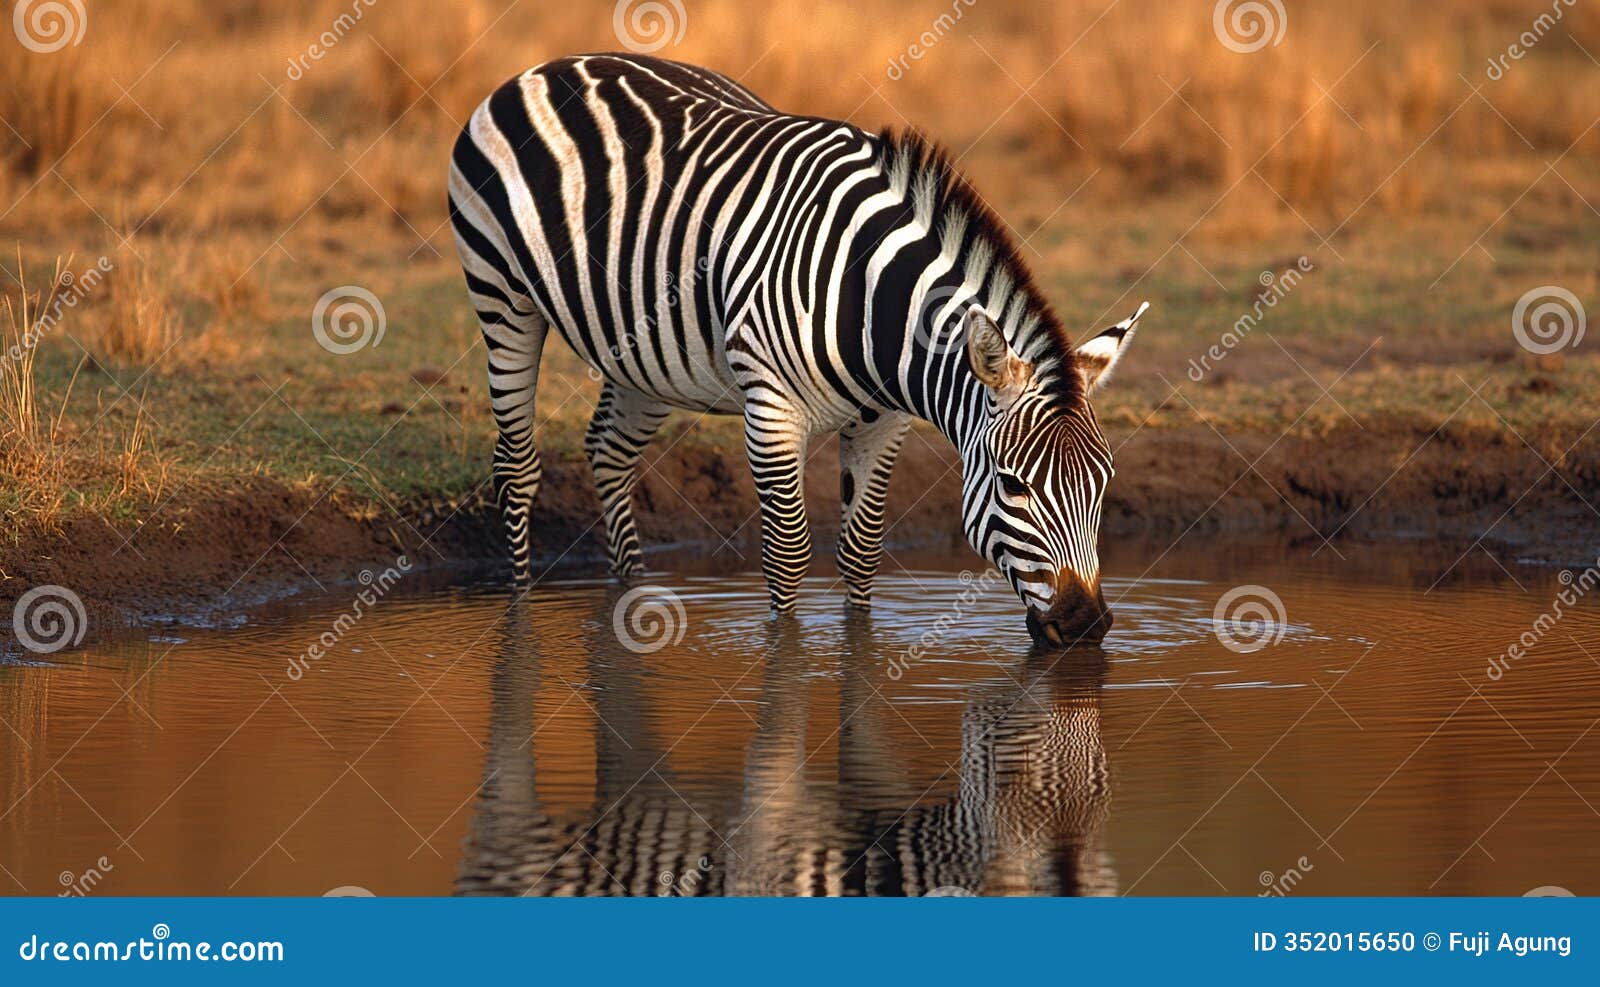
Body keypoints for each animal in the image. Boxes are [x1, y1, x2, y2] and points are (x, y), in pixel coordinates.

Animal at [448, 53, 1146, 646]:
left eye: (1103, 485)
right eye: (1011, 485)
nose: (1085, 628)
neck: (874, 310)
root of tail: (549, 67)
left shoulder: (885, 423)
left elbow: (861, 553)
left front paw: (858, 650)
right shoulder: (772, 410)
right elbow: (787, 557)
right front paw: (785, 657)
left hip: (643, 351)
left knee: (608, 454)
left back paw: (633, 597)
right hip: (502, 295)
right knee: (516, 467)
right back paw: (519, 611)